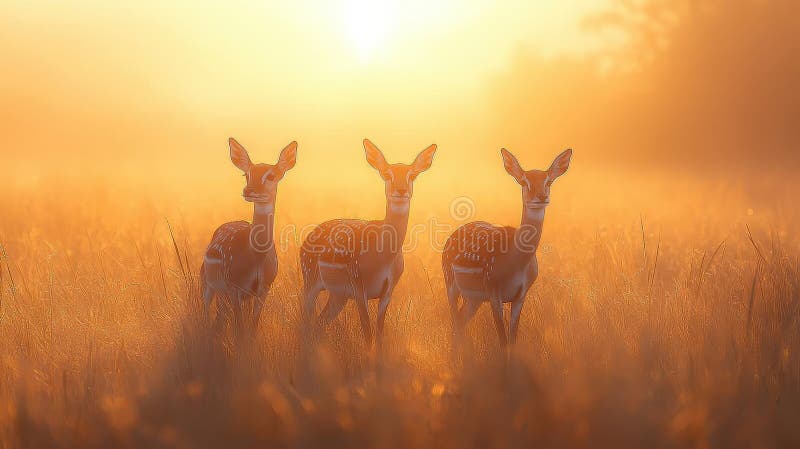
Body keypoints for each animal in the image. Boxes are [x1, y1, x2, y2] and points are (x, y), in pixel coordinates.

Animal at [200, 137, 297, 334]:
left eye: (271, 176)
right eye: (246, 174)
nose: (249, 190)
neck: (256, 257)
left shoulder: (264, 288)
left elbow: (252, 330)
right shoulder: (234, 286)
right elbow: (240, 331)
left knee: (220, 316)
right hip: (208, 281)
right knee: (207, 312)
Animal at [300, 139, 436, 349]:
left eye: (412, 175)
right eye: (387, 174)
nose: (401, 191)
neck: (381, 257)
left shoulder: (389, 289)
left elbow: (379, 334)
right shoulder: (358, 283)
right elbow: (367, 333)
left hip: (338, 295)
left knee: (319, 323)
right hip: (309, 278)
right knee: (305, 321)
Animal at [442, 148, 572, 349]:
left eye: (548, 181)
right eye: (524, 182)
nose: (541, 197)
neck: (514, 263)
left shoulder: (521, 294)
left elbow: (512, 340)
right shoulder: (493, 290)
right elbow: (502, 341)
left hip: (474, 298)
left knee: (461, 321)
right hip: (450, 282)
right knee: (455, 322)